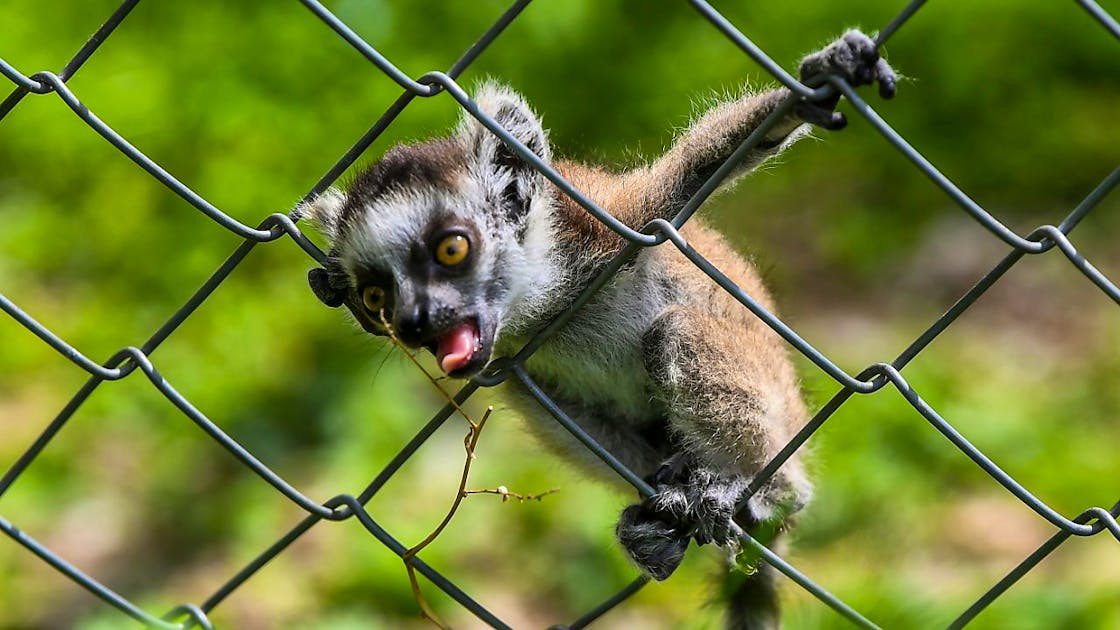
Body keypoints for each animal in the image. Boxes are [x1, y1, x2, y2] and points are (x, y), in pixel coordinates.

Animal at [299, 30, 896, 630]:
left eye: (451, 249)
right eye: (377, 296)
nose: (412, 322)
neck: (546, 302)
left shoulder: (615, 227)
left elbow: (698, 172)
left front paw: (814, 87)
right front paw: (333, 286)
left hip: (782, 411)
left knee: (673, 334)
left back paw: (776, 493)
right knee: (529, 388)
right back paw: (660, 523)